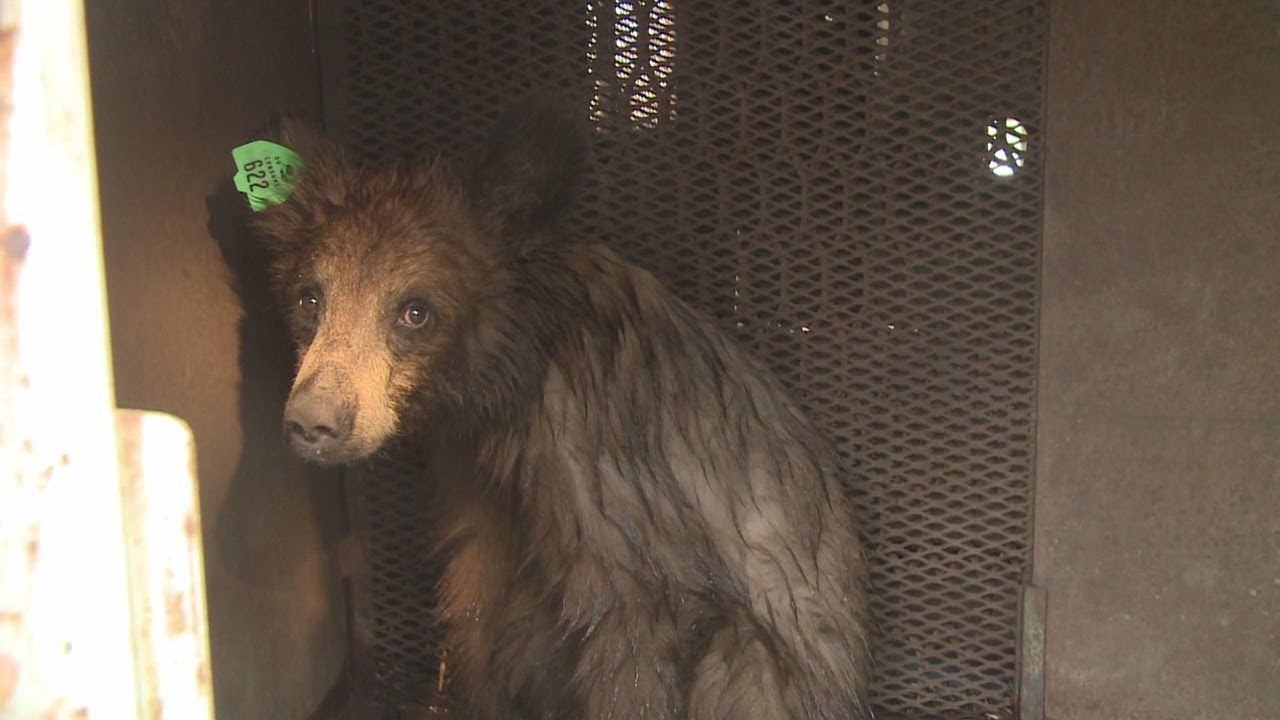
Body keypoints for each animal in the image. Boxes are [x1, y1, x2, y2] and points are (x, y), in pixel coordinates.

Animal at [253, 95, 873, 719]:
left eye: (415, 311)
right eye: (310, 299)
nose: (313, 422)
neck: (516, 371)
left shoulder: (614, 503)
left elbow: (632, 653)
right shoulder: (478, 488)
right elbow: (477, 606)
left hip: (749, 659)